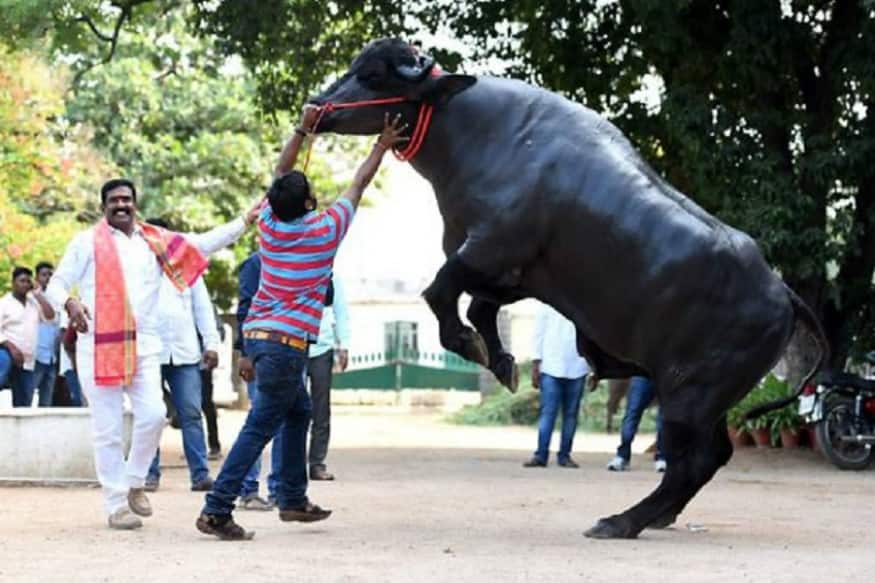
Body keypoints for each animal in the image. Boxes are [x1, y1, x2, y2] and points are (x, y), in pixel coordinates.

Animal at [309, 38, 827, 539]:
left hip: (690, 395)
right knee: (710, 456)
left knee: (693, 462)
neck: (479, 134)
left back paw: (620, 522)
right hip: (707, 400)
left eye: (373, 75)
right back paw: (656, 516)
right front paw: (502, 363)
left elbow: (439, 294)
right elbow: (478, 309)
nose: (317, 106)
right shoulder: (512, 274)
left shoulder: (489, 250)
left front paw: (470, 346)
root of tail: (782, 294)